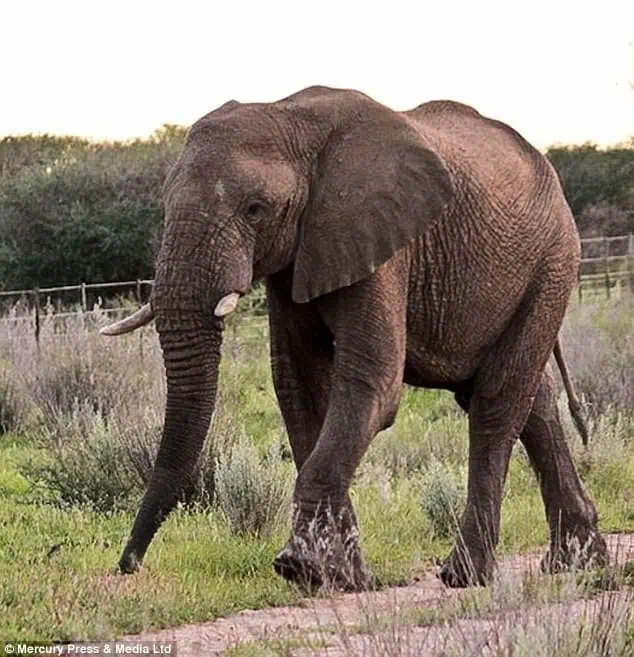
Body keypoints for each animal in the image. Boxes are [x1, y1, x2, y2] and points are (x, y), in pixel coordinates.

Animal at [101, 86, 607, 589]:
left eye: (255, 209)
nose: (128, 563)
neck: (291, 117)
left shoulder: (381, 238)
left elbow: (371, 384)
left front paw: (300, 567)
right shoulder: (299, 256)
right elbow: (300, 387)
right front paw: (345, 578)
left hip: (554, 262)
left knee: (496, 401)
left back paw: (466, 574)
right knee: (533, 403)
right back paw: (577, 563)